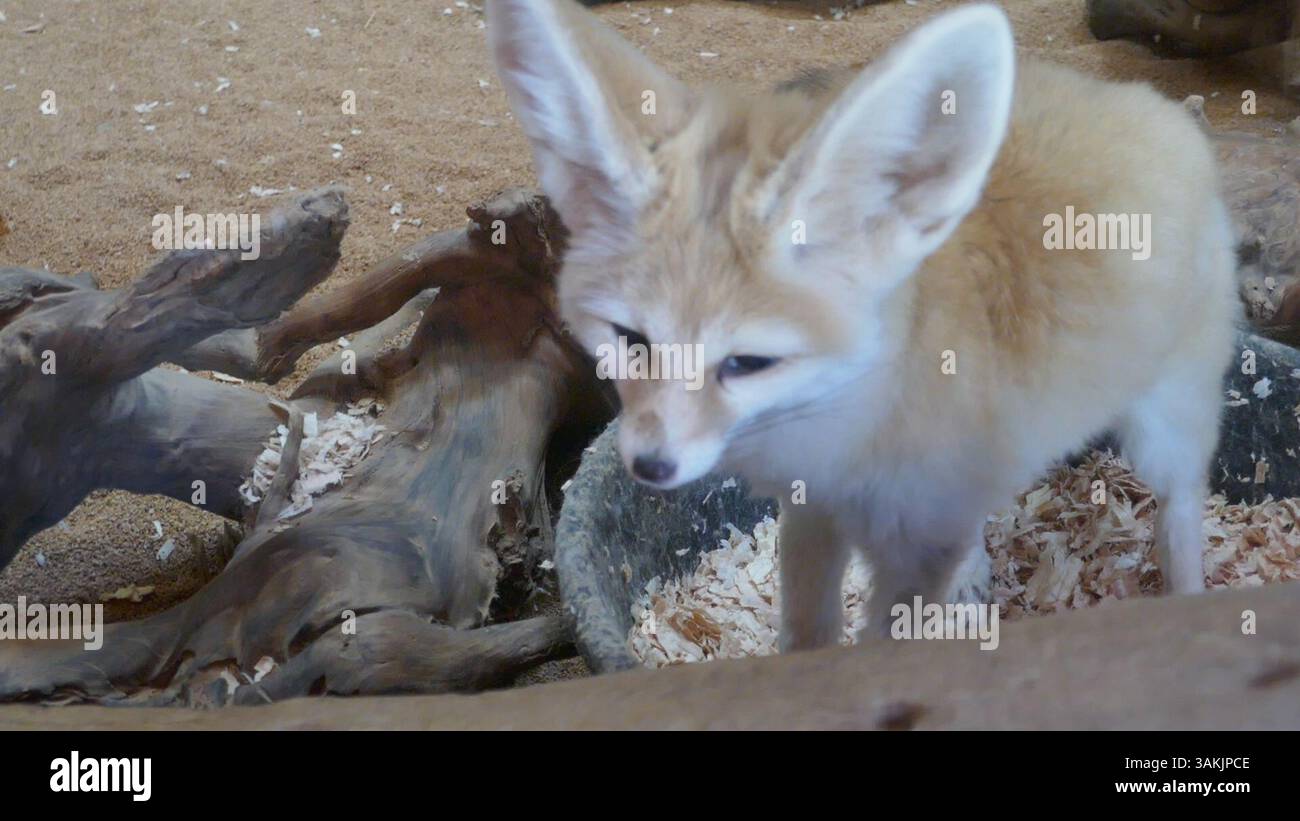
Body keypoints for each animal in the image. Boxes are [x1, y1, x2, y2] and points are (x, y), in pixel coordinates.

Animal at [488, 0, 1238, 651]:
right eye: (631, 340)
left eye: (747, 363)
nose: (649, 465)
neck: (848, 432)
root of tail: (1146, 101)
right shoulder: (814, 513)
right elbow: (808, 633)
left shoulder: (914, 542)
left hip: (1162, 432)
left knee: (1181, 506)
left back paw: (1188, 595)